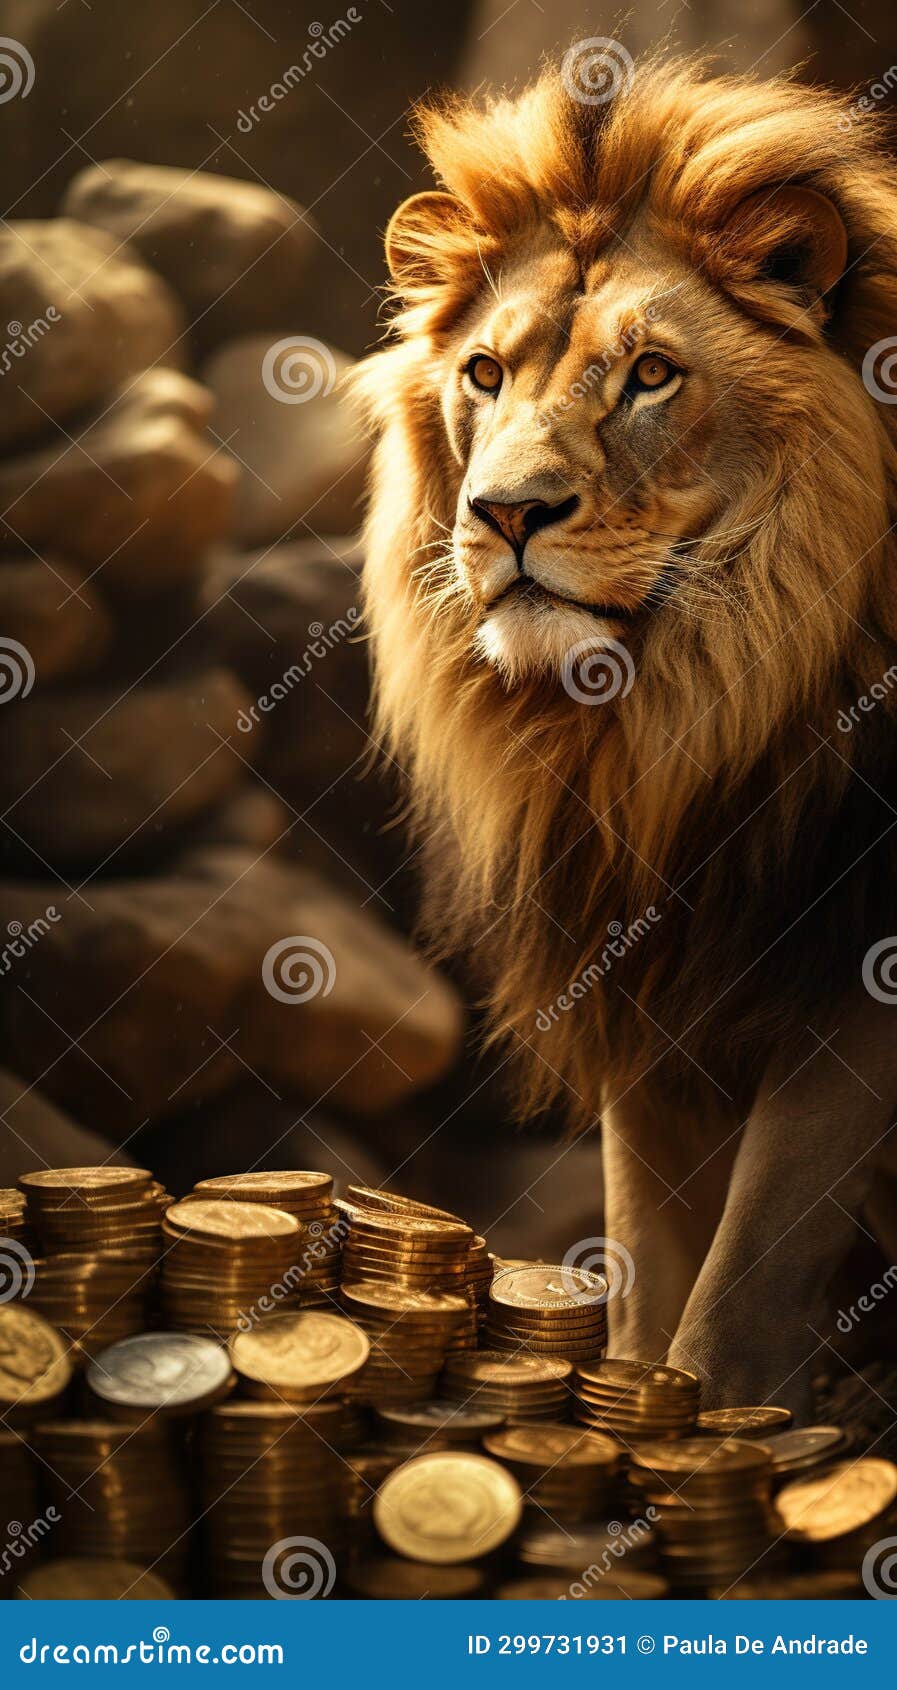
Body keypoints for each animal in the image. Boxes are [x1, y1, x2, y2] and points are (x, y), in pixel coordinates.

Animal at [356, 56, 897, 1414]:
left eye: (650, 374)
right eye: (484, 375)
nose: (506, 512)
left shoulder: (854, 981)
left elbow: (742, 1283)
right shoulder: (651, 973)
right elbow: (652, 1264)